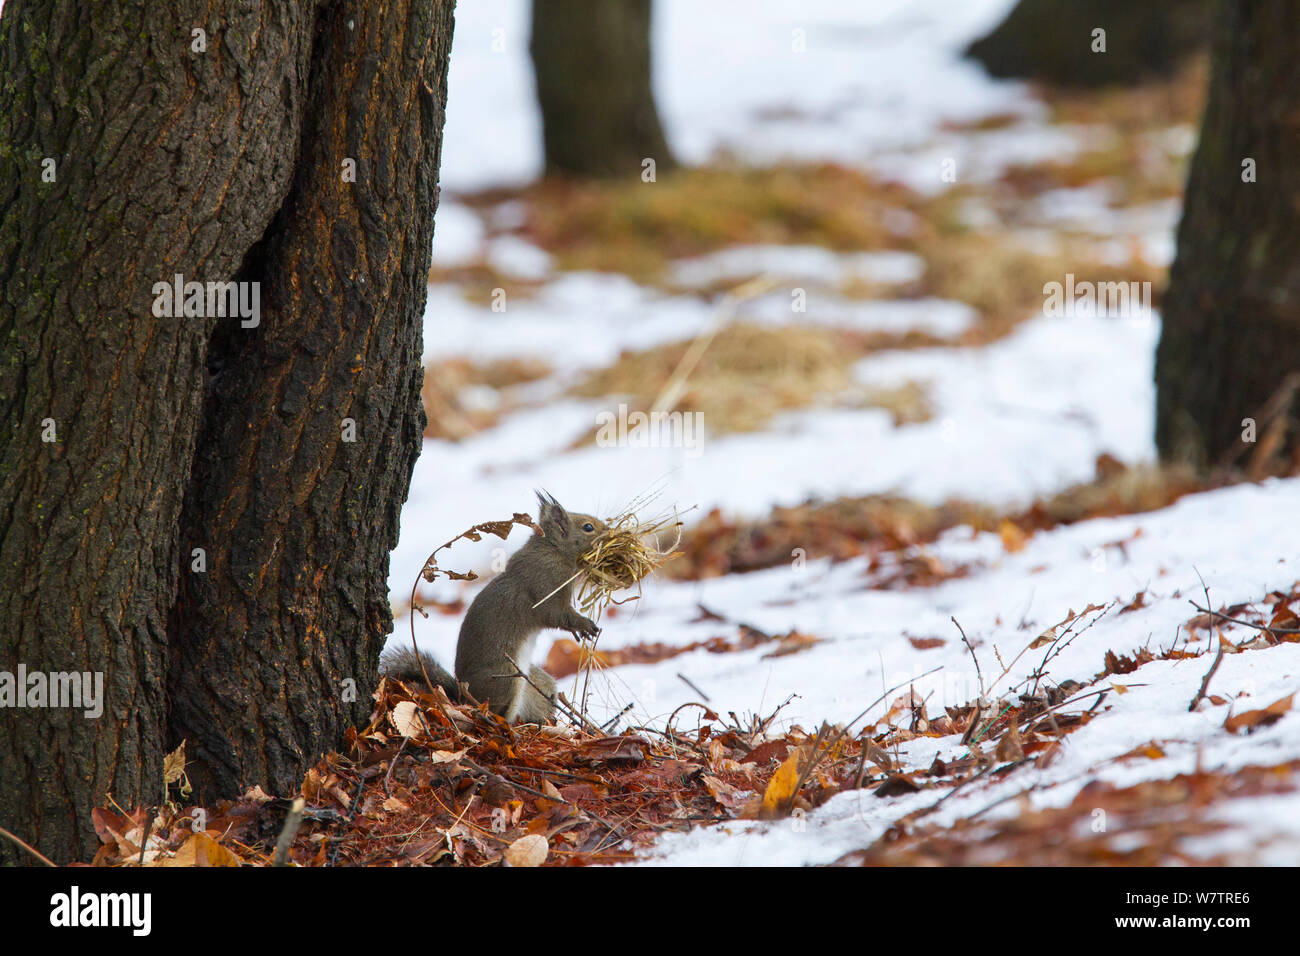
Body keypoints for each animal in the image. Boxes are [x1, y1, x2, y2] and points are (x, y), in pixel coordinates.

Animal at [380, 492, 605, 723]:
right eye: (588, 527)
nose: (608, 531)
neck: (553, 549)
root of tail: (463, 696)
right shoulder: (545, 585)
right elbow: (556, 615)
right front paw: (584, 625)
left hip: (535, 681)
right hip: (506, 678)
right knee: (498, 712)